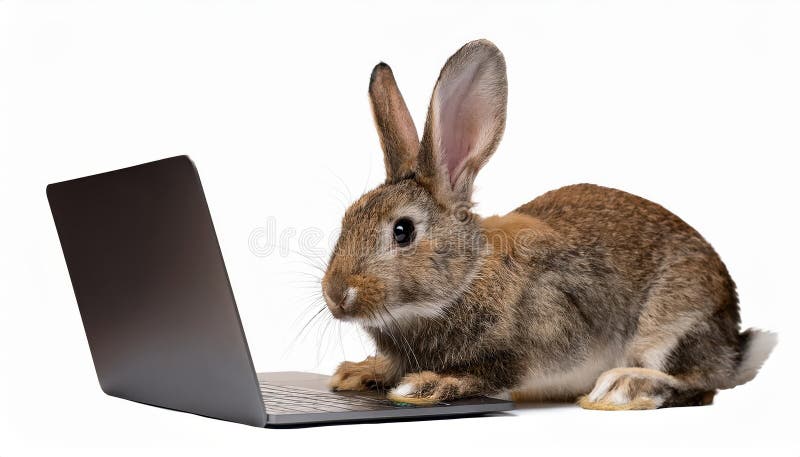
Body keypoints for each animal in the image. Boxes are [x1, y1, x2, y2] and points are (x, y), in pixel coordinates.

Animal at [321, 39, 777, 410]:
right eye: (347, 218)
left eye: (403, 231)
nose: (336, 295)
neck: (467, 279)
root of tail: (733, 343)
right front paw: (360, 372)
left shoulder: (544, 338)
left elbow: (491, 376)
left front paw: (427, 385)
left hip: (672, 327)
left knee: (696, 383)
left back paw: (622, 388)